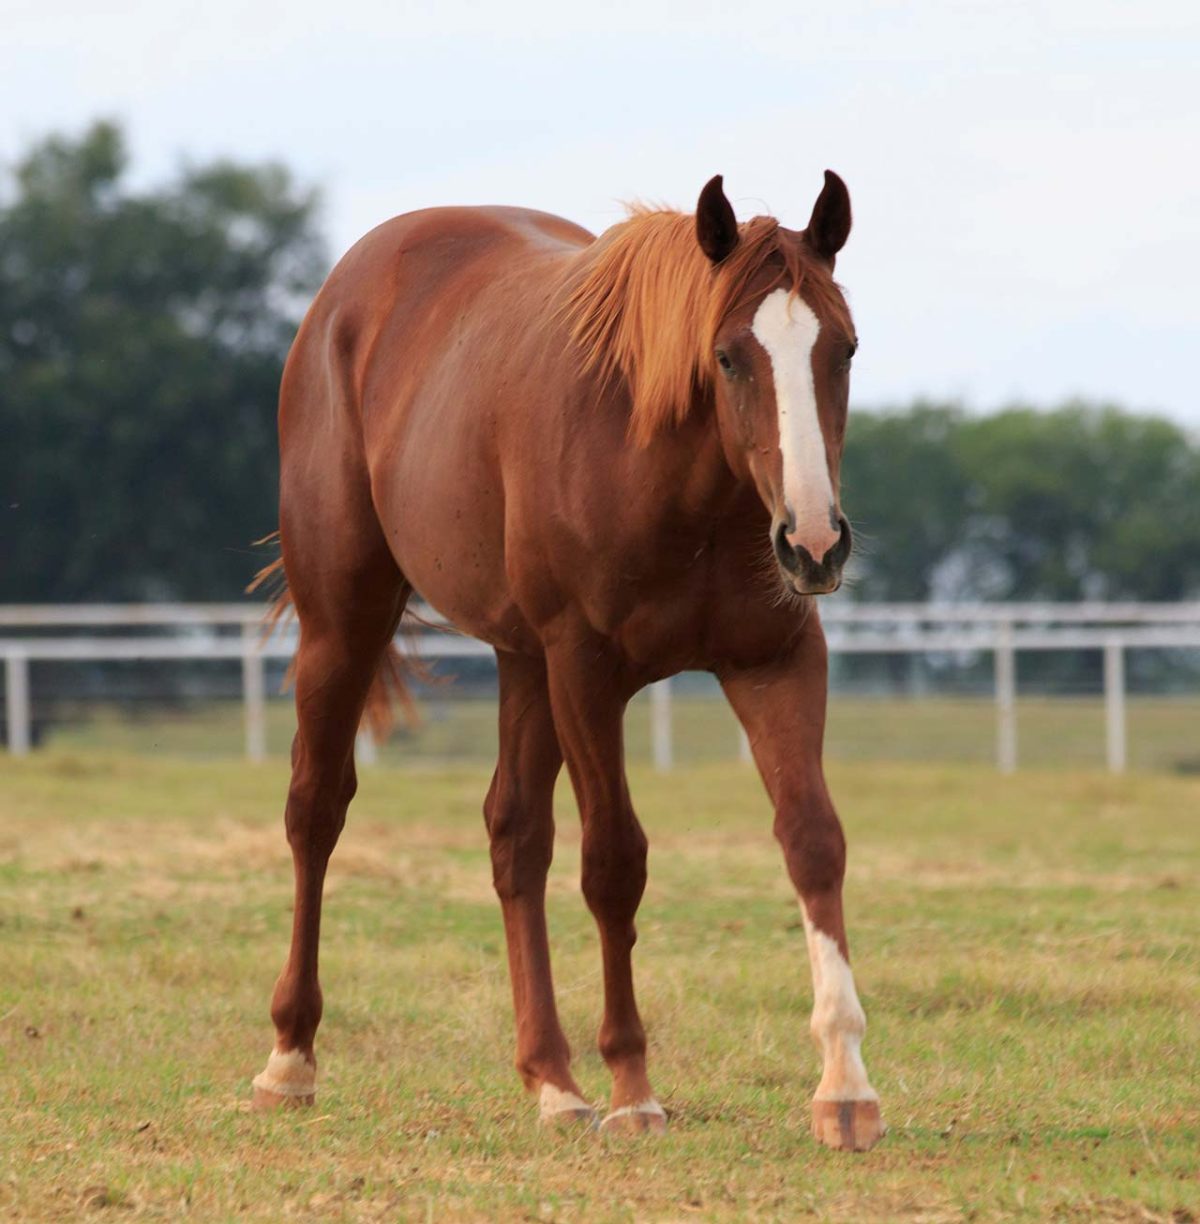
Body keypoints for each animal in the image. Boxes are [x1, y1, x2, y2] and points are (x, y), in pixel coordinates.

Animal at [249, 170, 884, 1150]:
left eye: (844, 350)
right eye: (729, 357)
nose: (814, 542)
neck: (675, 481)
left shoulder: (777, 661)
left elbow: (813, 841)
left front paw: (844, 1086)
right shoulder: (586, 672)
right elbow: (614, 864)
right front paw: (634, 1088)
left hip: (521, 662)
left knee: (514, 837)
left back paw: (551, 1078)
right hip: (344, 623)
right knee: (316, 810)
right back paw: (291, 1060)